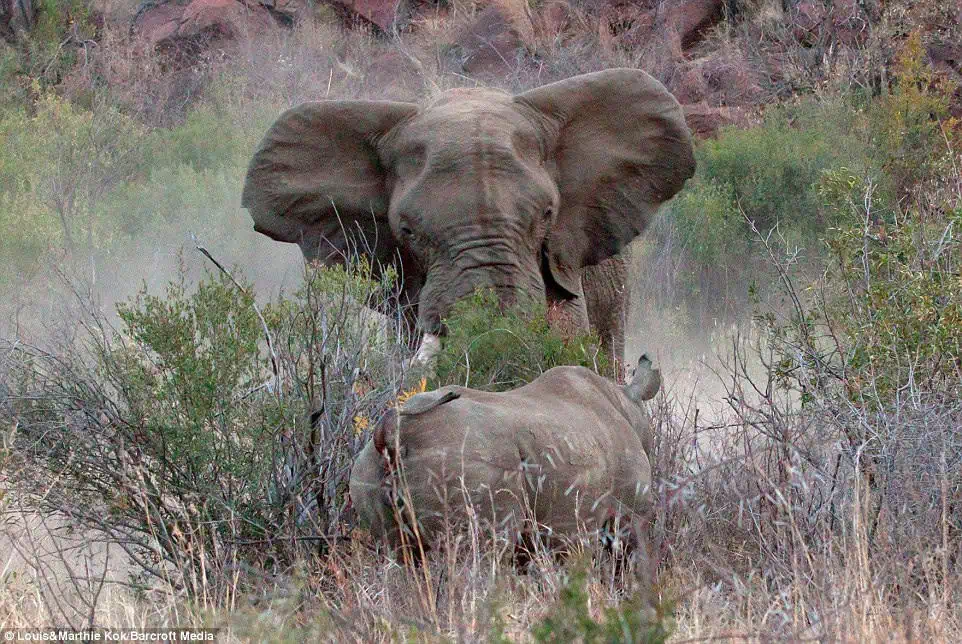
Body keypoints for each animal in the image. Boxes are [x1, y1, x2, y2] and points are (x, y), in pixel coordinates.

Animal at [348, 353, 662, 558]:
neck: (627, 402)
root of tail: (389, 430)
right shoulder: (628, 510)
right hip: (463, 466)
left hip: (365, 470)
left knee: (399, 554)